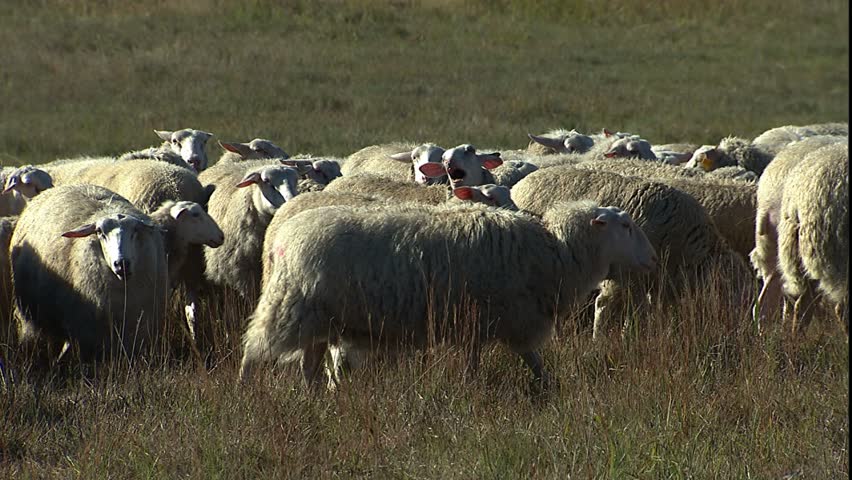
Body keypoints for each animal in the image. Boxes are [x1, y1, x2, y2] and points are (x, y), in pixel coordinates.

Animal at [10, 184, 169, 364]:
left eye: (135, 231)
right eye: (100, 232)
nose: (121, 264)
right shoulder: (87, 333)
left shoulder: (137, 331)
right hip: (31, 313)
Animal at [240, 199, 657, 388]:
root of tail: (280, 239)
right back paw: (244, 392)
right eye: (624, 225)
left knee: (309, 367)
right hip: (291, 307)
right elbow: (530, 358)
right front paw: (546, 389)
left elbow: (492, 360)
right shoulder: (509, 316)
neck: (556, 254)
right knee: (252, 350)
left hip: (320, 318)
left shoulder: (482, 322)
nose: (654, 259)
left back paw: (317, 399)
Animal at [512, 165, 749, 340]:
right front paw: (603, 342)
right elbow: (608, 308)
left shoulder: (658, 282)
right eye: (729, 290)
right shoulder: (625, 277)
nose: (741, 332)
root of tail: (522, 182)